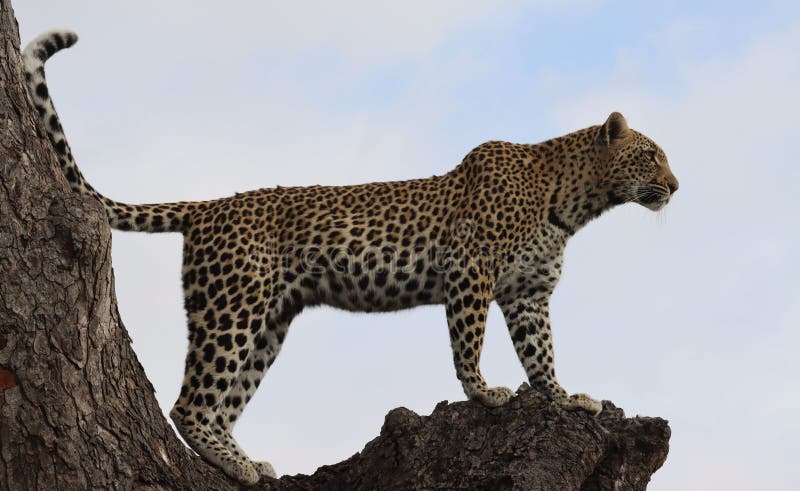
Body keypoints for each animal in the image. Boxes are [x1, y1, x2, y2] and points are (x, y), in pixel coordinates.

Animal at [23, 29, 678, 485]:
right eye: (651, 156)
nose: (676, 186)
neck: (574, 201)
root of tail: (209, 206)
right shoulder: (471, 270)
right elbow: (468, 342)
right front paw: (483, 393)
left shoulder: (528, 294)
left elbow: (541, 354)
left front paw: (566, 396)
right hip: (232, 306)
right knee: (191, 402)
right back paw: (234, 463)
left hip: (268, 321)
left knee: (223, 403)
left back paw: (245, 463)